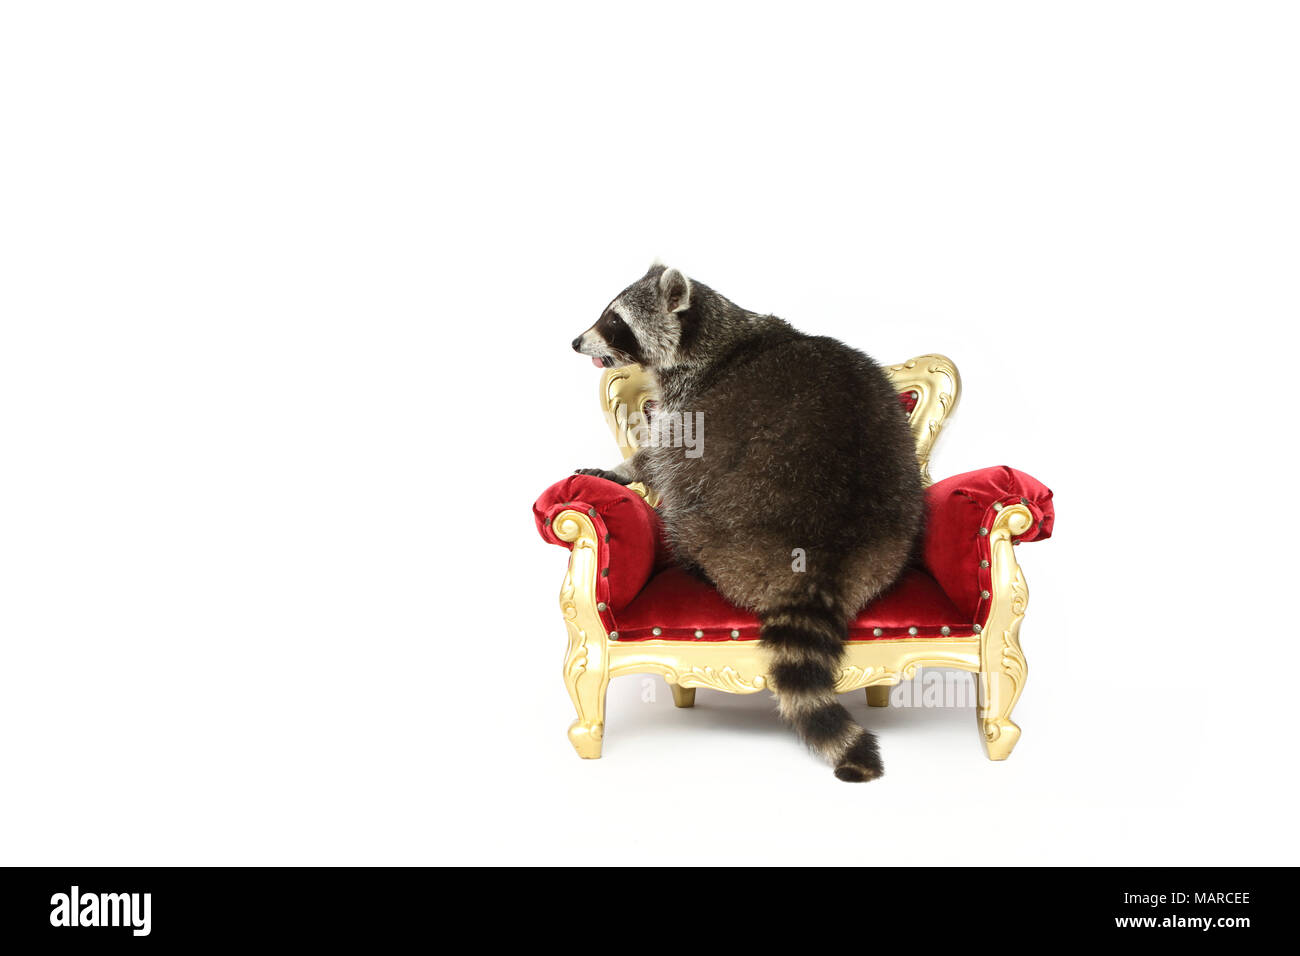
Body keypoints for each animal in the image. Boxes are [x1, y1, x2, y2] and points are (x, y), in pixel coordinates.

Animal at [573, 263, 924, 781]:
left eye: (614, 321)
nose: (576, 341)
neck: (717, 333)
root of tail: (824, 550)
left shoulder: (689, 404)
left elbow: (661, 457)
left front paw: (621, 469)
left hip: (721, 528)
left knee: (685, 494)